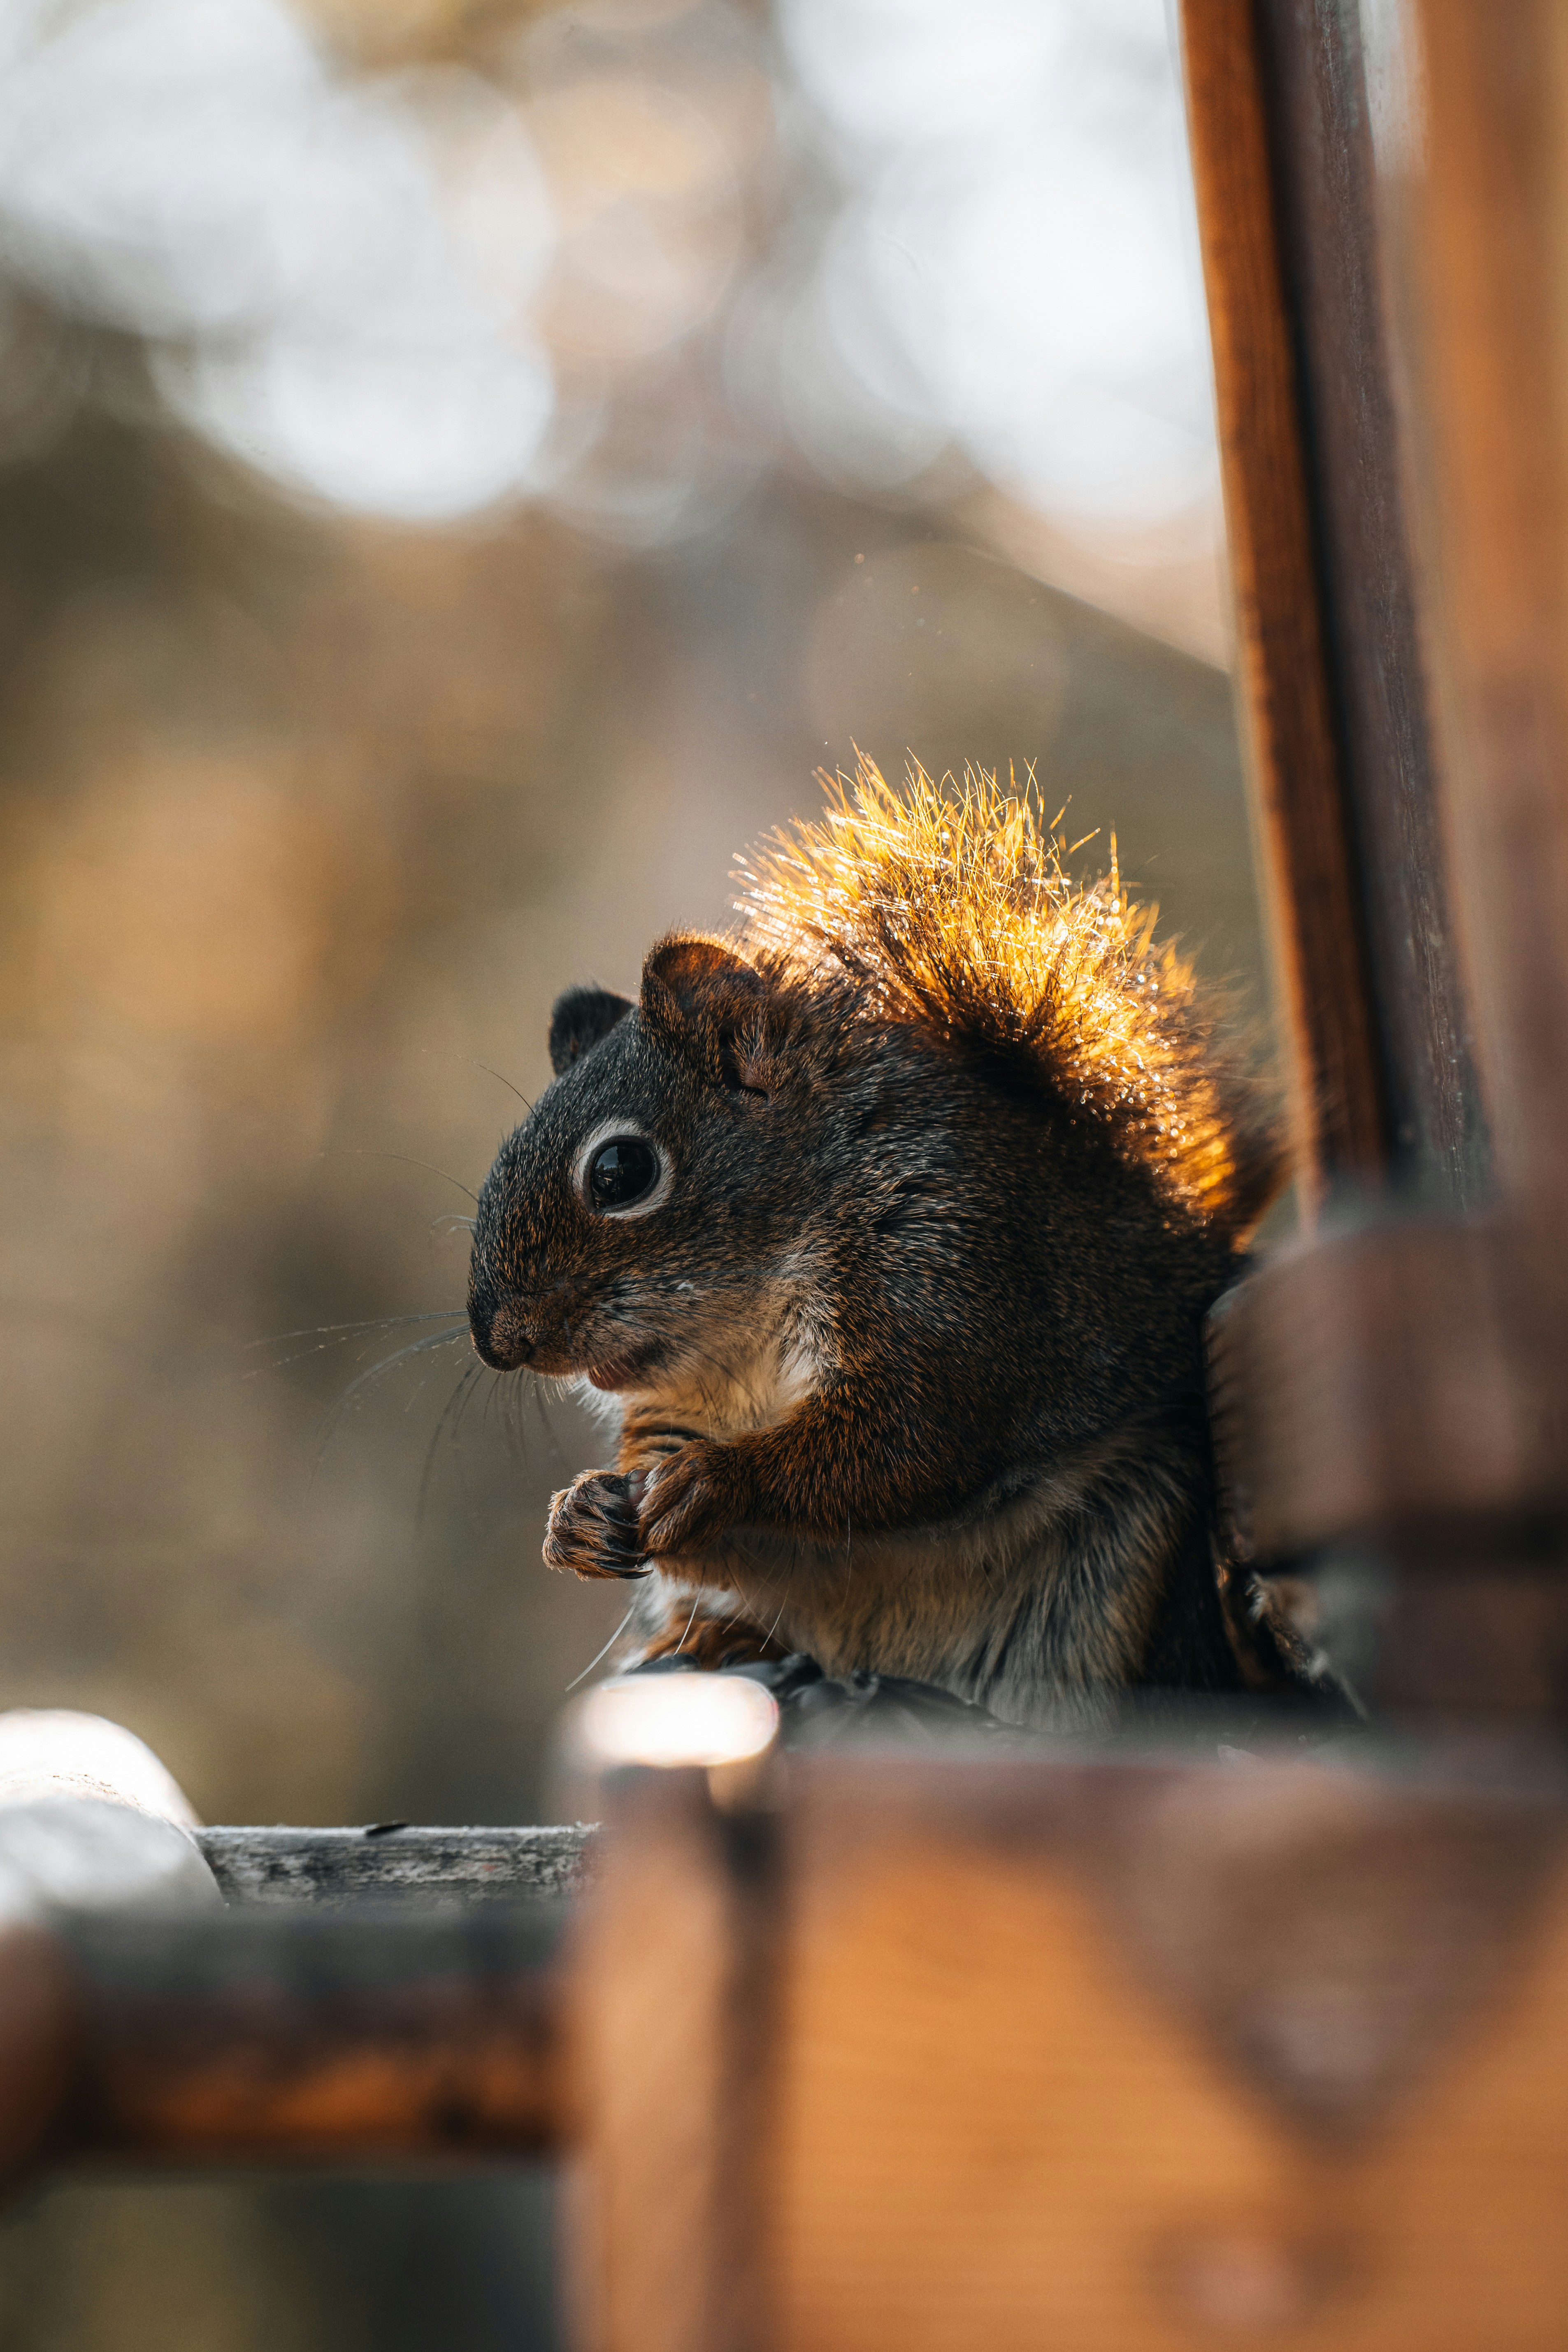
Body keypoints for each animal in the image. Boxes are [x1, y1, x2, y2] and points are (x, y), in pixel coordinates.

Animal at [467, 759, 1320, 1730]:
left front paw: (717, 1480)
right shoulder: (670, 1407)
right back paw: (732, 1646)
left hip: (1126, 1565)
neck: (748, 1320)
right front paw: (576, 1517)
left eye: (618, 1172)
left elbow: (909, 1443)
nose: (497, 1340)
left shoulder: (958, 1266)